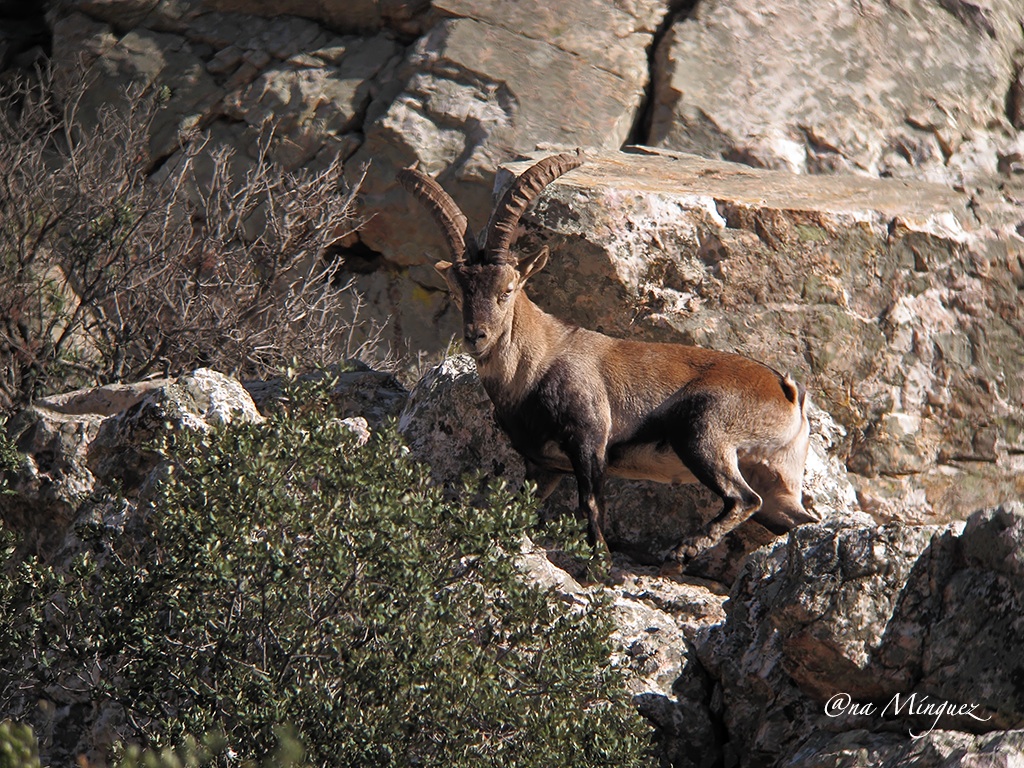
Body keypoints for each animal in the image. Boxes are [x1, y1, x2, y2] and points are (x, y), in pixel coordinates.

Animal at [398, 153, 816, 563]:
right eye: (457, 292)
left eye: (508, 289)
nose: (476, 336)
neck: (535, 365)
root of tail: (787, 391)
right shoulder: (543, 465)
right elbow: (520, 505)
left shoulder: (590, 439)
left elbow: (591, 505)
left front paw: (599, 563)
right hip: (779, 478)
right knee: (797, 517)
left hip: (702, 431)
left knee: (743, 498)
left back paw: (685, 548)